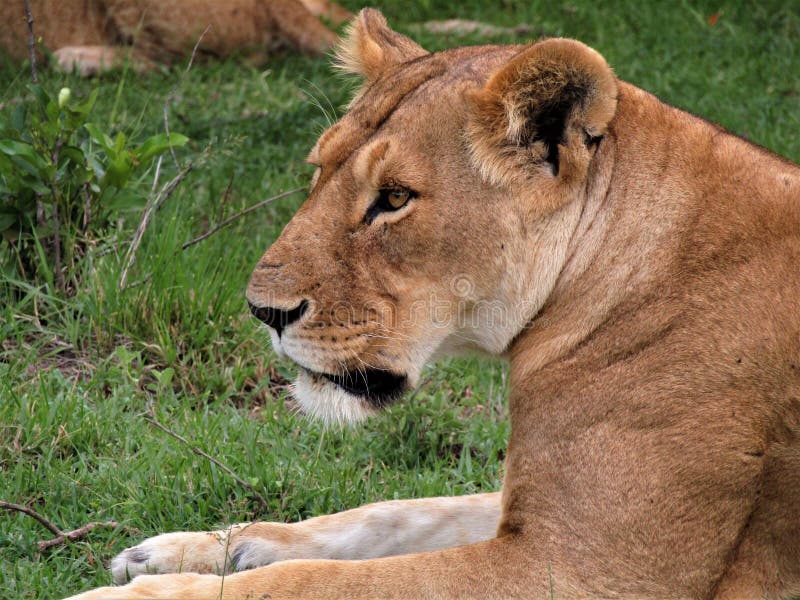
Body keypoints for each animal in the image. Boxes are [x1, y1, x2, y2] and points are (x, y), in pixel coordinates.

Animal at [65, 8, 800, 600]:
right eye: (319, 170)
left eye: (394, 198)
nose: (262, 312)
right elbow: (393, 512)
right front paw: (207, 546)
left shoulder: (593, 570)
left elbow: (322, 582)